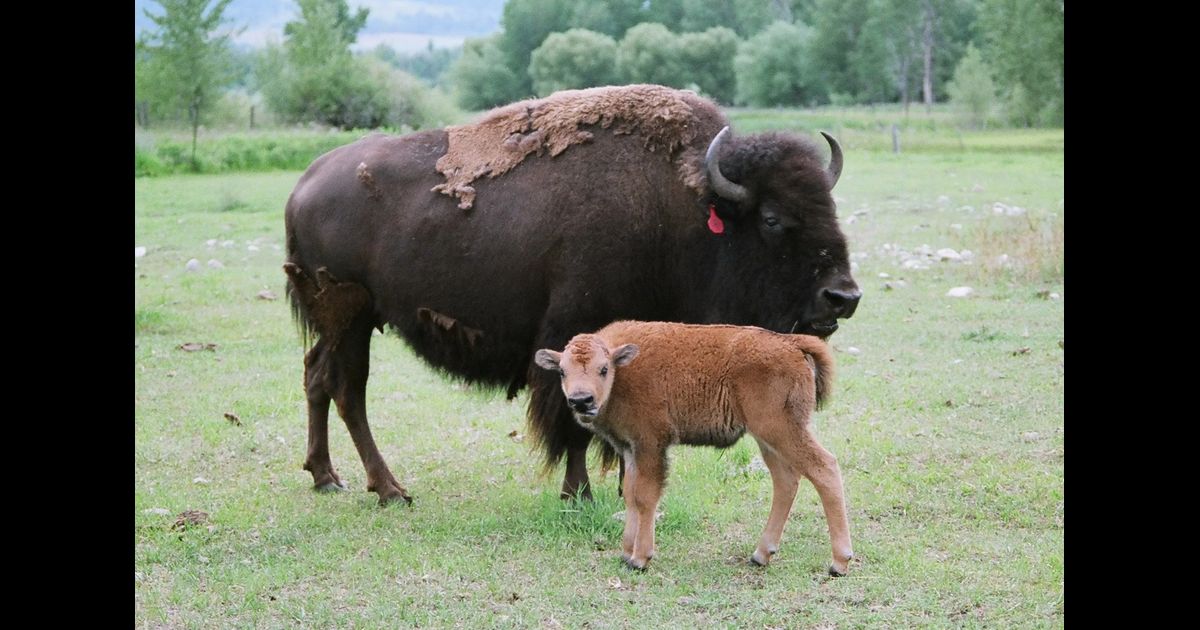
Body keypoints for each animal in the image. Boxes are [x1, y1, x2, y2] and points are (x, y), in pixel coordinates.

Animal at [283, 84, 861, 505]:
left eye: (829, 207)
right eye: (772, 218)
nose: (843, 297)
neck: (683, 207)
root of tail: (305, 183)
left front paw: (623, 489)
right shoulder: (574, 334)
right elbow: (576, 422)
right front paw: (578, 495)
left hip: (341, 322)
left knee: (316, 376)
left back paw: (326, 477)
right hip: (350, 316)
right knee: (347, 389)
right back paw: (390, 490)